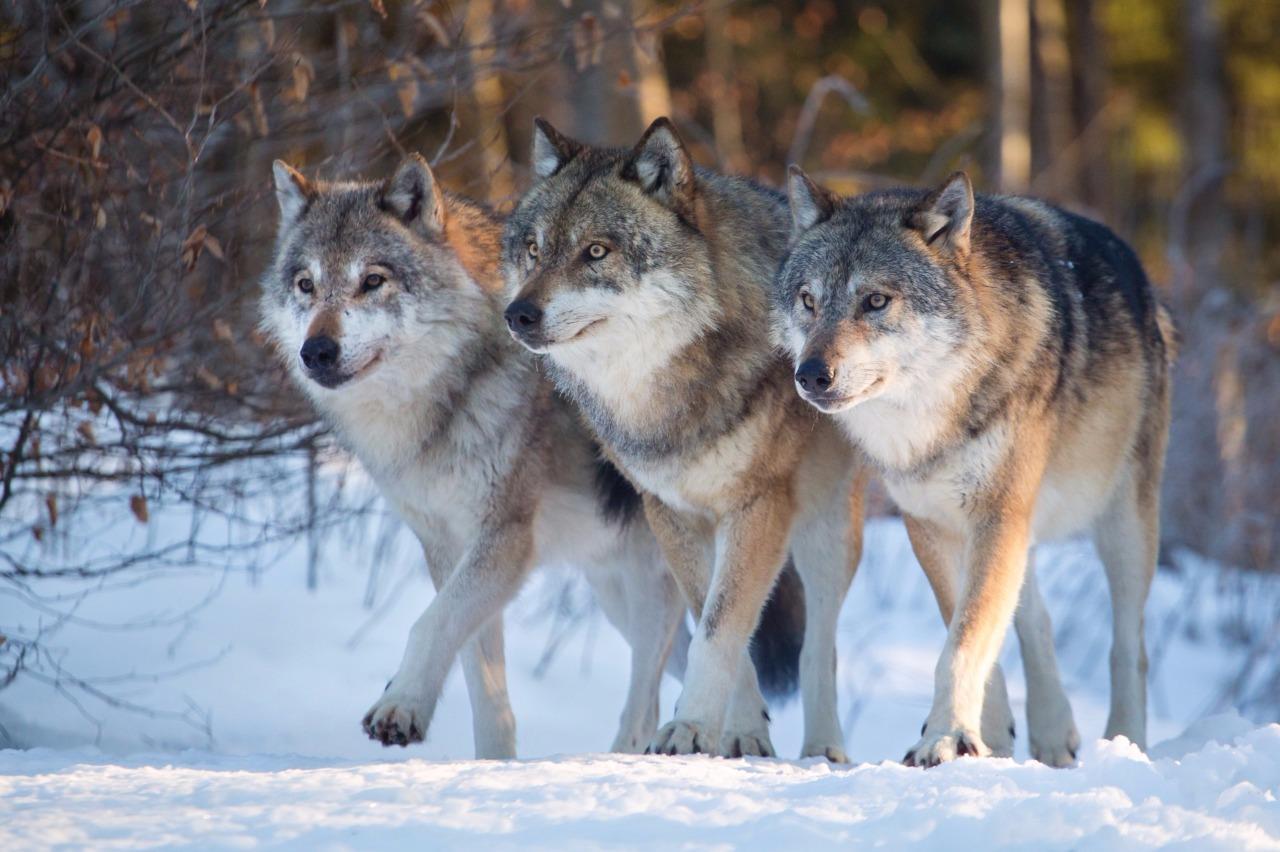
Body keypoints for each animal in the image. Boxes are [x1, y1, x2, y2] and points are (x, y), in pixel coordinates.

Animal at [259, 153, 707, 758]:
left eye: (372, 281)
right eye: (306, 285)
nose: (316, 351)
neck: (445, 399)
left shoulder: (505, 540)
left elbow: (428, 625)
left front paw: (398, 705)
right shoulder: (448, 547)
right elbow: (479, 677)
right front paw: (492, 765)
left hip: (654, 580)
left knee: (649, 702)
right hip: (619, 591)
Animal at [503, 117, 870, 761]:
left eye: (596, 251)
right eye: (534, 250)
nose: (517, 314)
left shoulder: (759, 507)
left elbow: (723, 626)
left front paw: (690, 727)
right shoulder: (669, 511)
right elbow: (716, 621)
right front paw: (737, 732)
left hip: (825, 531)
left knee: (820, 646)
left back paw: (824, 750)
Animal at [778, 168, 1175, 766]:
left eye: (876, 301)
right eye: (808, 299)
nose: (810, 375)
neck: (932, 417)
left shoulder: (995, 514)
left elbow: (963, 642)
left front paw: (944, 738)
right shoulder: (932, 524)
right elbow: (964, 629)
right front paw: (981, 733)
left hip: (1122, 524)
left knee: (1130, 646)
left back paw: (1124, 744)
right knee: (1035, 618)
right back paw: (1052, 732)